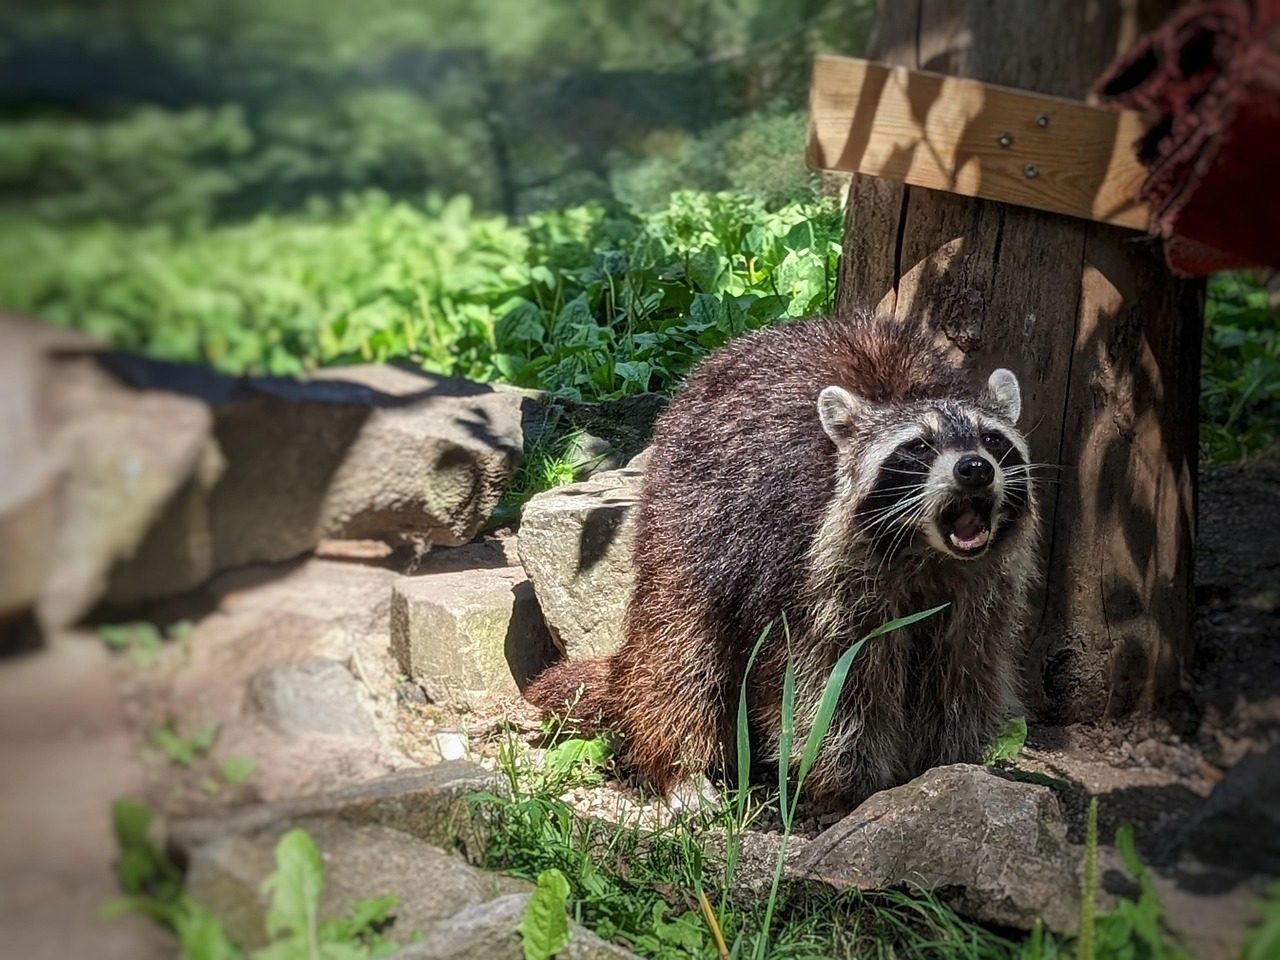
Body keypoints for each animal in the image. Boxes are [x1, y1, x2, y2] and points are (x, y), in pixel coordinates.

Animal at [524, 311, 1041, 810]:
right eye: (918, 446)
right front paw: (852, 784)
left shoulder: (982, 591)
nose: (974, 469)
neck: (926, 555)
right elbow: (832, 684)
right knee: (678, 644)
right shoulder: (804, 567)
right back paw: (680, 765)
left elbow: (962, 674)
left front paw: (945, 762)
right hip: (687, 509)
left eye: (992, 441)